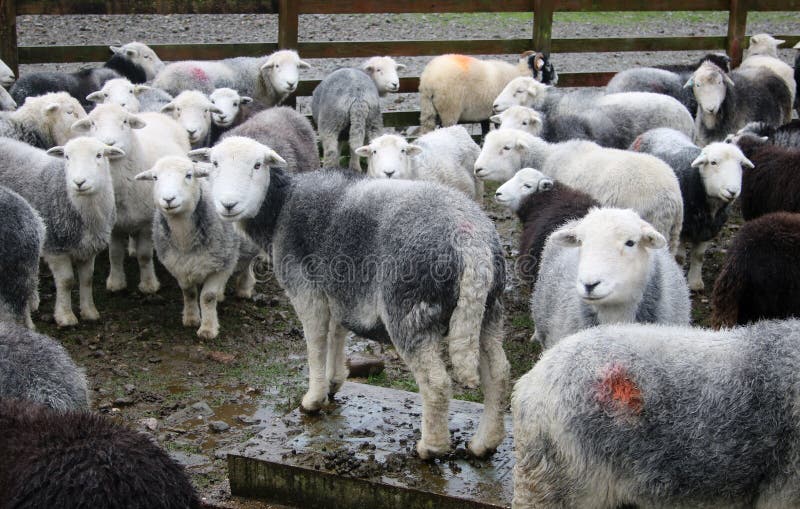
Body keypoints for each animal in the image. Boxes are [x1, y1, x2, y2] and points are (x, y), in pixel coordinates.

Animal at [72, 103, 190, 295]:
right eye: (92, 124)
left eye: (125, 121)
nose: (108, 143)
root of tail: (153, 113)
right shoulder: (114, 226)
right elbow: (115, 254)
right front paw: (116, 282)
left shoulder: (146, 222)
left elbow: (145, 255)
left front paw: (149, 285)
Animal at [134, 156, 251, 339]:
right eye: (155, 177)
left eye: (189, 175)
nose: (168, 199)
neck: (184, 241)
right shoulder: (178, 266)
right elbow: (189, 293)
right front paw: (191, 318)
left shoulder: (222, 263)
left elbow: (208, 297)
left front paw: (208, 329)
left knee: (247, 264)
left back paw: (245, 287)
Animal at [191, 136, 510, 460]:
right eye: (214, 164)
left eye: (258, 165)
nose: (228, 204)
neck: (280, 207)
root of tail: (468, 237)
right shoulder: (339, 291)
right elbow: (337, 334)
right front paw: (333, 383)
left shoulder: (306, 289)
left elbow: (316, 342)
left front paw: (313, 399)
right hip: (487, 308)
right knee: (498, 374)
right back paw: (484, 443)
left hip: (409, 308)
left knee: (436, 382)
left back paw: (430, 447)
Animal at [631, 128, 752, 291]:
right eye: (713, 162)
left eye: (741, 166)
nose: (732, 191)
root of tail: (658, 129)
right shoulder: (682, 229)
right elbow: (680, 258)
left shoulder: (708, 231)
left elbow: (699, 256)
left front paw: (695, 282)